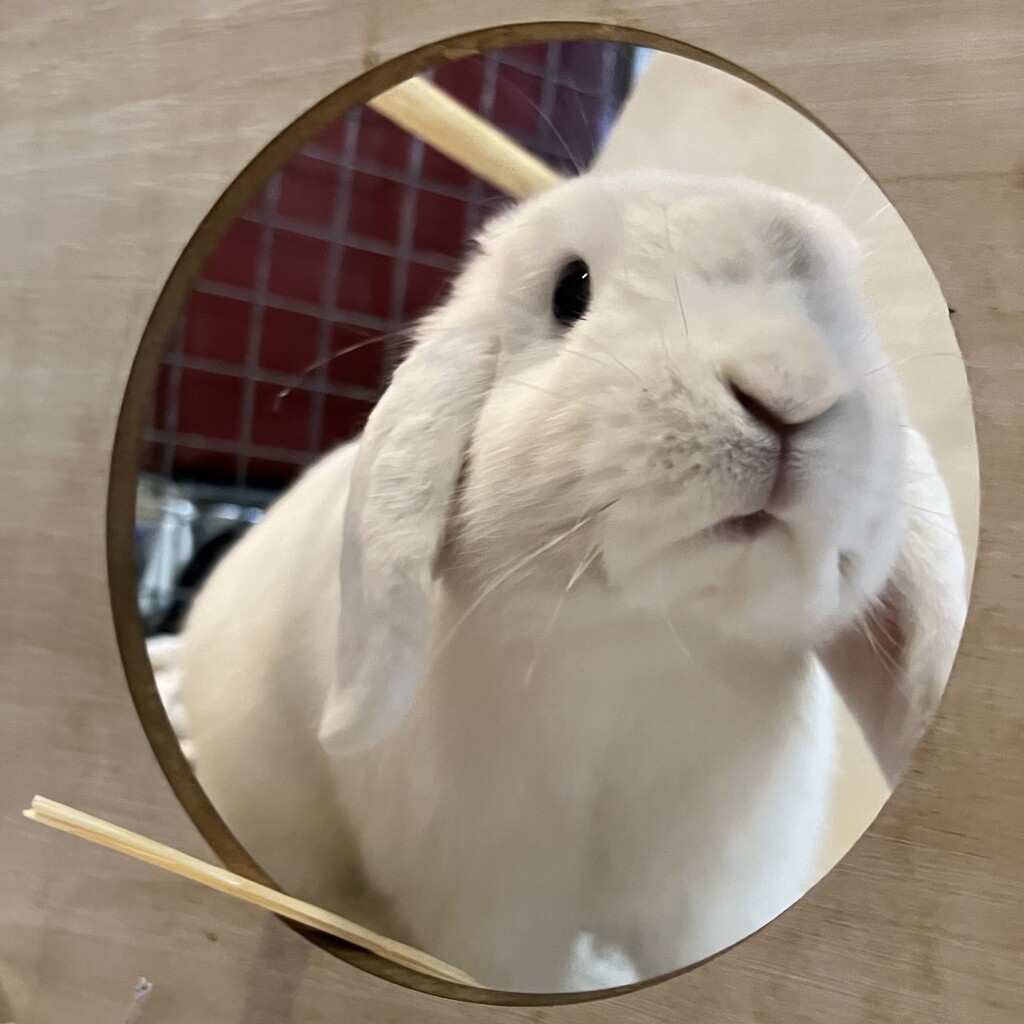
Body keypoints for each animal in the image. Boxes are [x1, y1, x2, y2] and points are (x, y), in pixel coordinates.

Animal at [177, 169, 967, 993]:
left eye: (853, 313)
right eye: (570, 290)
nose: (791, 387)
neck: (644, 640)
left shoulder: (714, 900)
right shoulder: (495, 909)